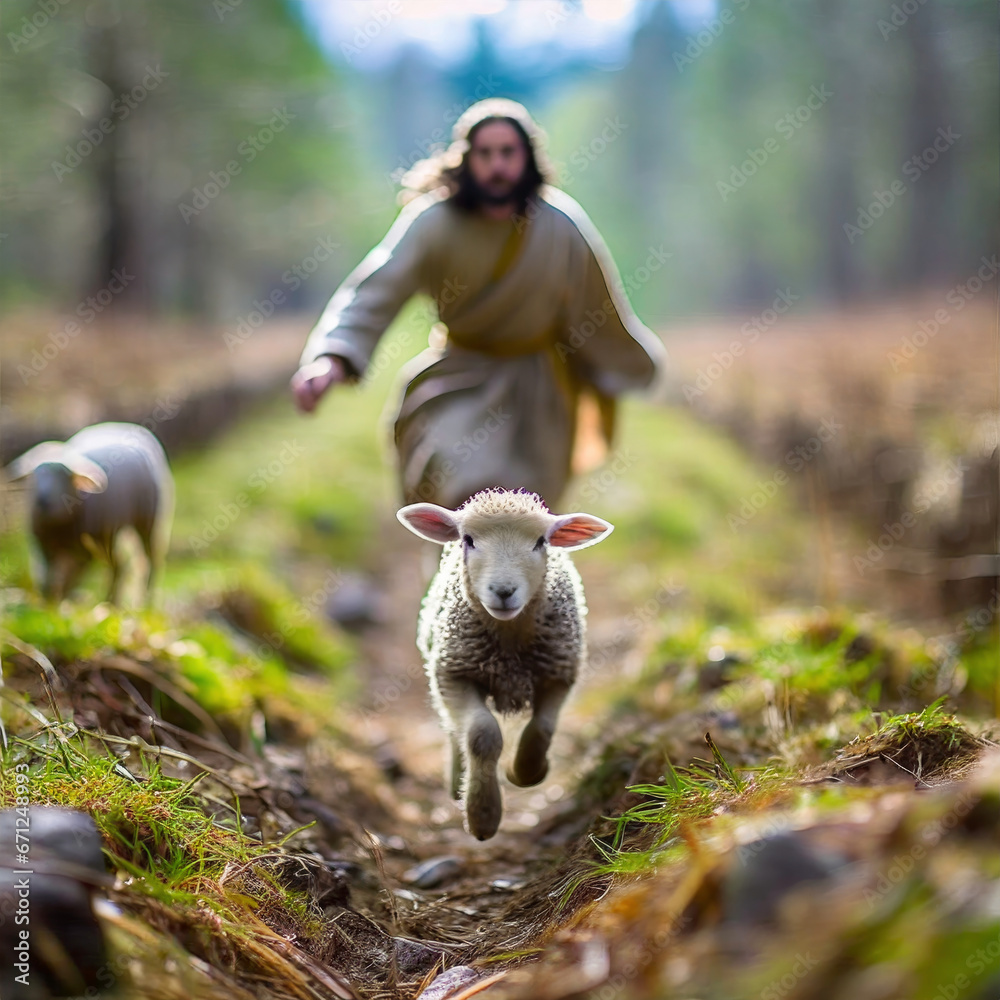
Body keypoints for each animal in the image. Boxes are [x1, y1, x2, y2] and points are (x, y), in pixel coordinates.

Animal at [5, 422, 174, 603]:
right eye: (35, 478)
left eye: (62, 476)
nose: (41, 500)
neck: (60, 526)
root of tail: (119, 424)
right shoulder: (45, 548)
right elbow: (49, 582)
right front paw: (50, 604)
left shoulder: (87, 549)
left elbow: (71, 580)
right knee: (120, 564)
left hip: (146, 523)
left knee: (145, 560)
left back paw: (138, 600)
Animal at [397, 487, 613, 840]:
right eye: (468, 540)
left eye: (540, 542)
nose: (503, 591)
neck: (509, 643)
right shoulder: (454, 674)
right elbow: (481, 735)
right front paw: (482, 814)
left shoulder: (559, 674)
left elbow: (542, 729)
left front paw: (525, 772)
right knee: (454, 730)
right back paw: (457, 779)